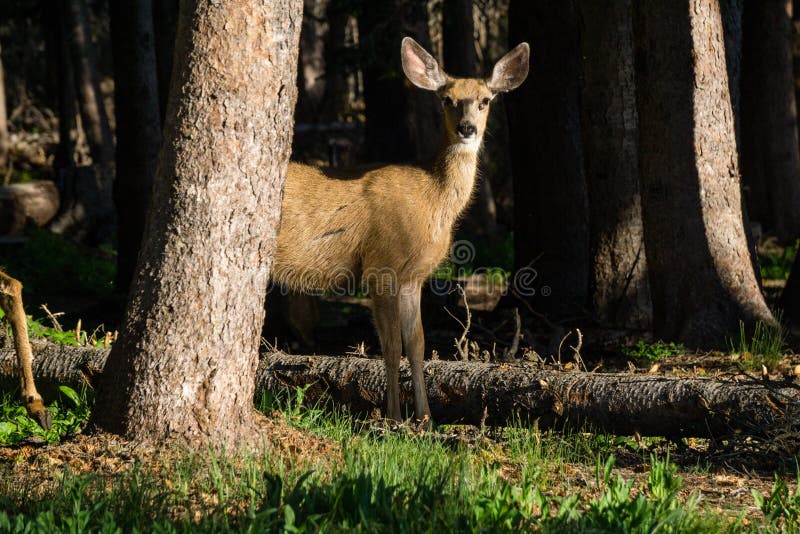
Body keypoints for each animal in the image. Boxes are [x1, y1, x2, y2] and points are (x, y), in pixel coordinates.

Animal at [272, 37, 530, 423]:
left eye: (485, 99)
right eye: (447, 99)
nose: (467, 128)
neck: (431, 200)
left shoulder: (413, 277)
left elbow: (417, 345)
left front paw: (425, 419)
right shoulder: (382, 264)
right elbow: (391, 346)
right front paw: (393, 417)